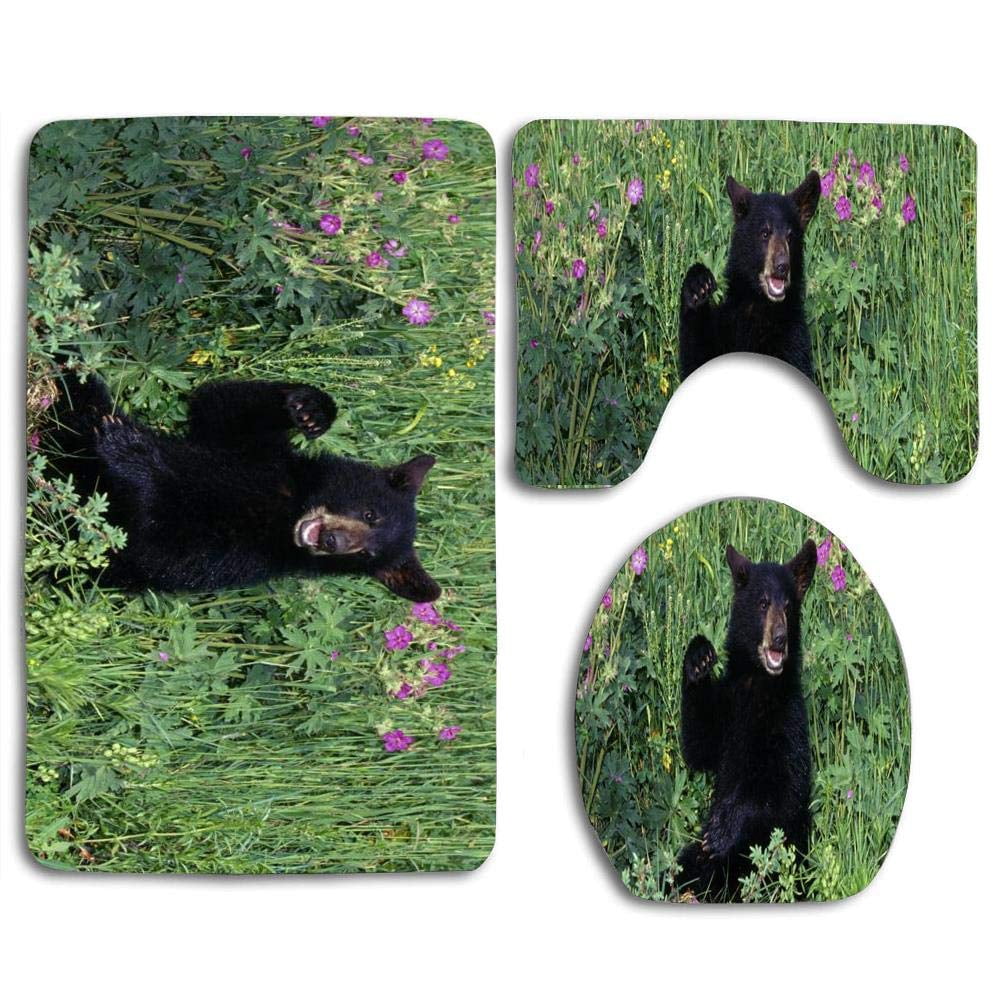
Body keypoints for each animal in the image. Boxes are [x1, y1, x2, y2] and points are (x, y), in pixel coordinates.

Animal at [47, 368, 441, 601]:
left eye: (366, 555)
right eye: (371, 513)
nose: (333, 541)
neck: (288, 509)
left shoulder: (244, 558)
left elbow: (159, 544)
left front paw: (128, 448)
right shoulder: (259, 455)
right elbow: (221, 404)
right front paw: (310, 410)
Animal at [676, 538, 817, 902]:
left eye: (789, 606)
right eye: (763, 603)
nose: (780, 638)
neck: (757, 683)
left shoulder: (788, 719)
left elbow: (783, 789)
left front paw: (722, 827)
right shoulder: (729, 706)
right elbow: (700, 746)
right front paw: (698, 659)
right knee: (685, 866)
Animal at [678, 170, 821, 382]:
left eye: (791, 236)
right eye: (764, 233)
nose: (782, 266)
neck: (758, 305)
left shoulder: (792, 337)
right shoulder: (727, 326)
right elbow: (697, 359)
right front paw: (698, 286)